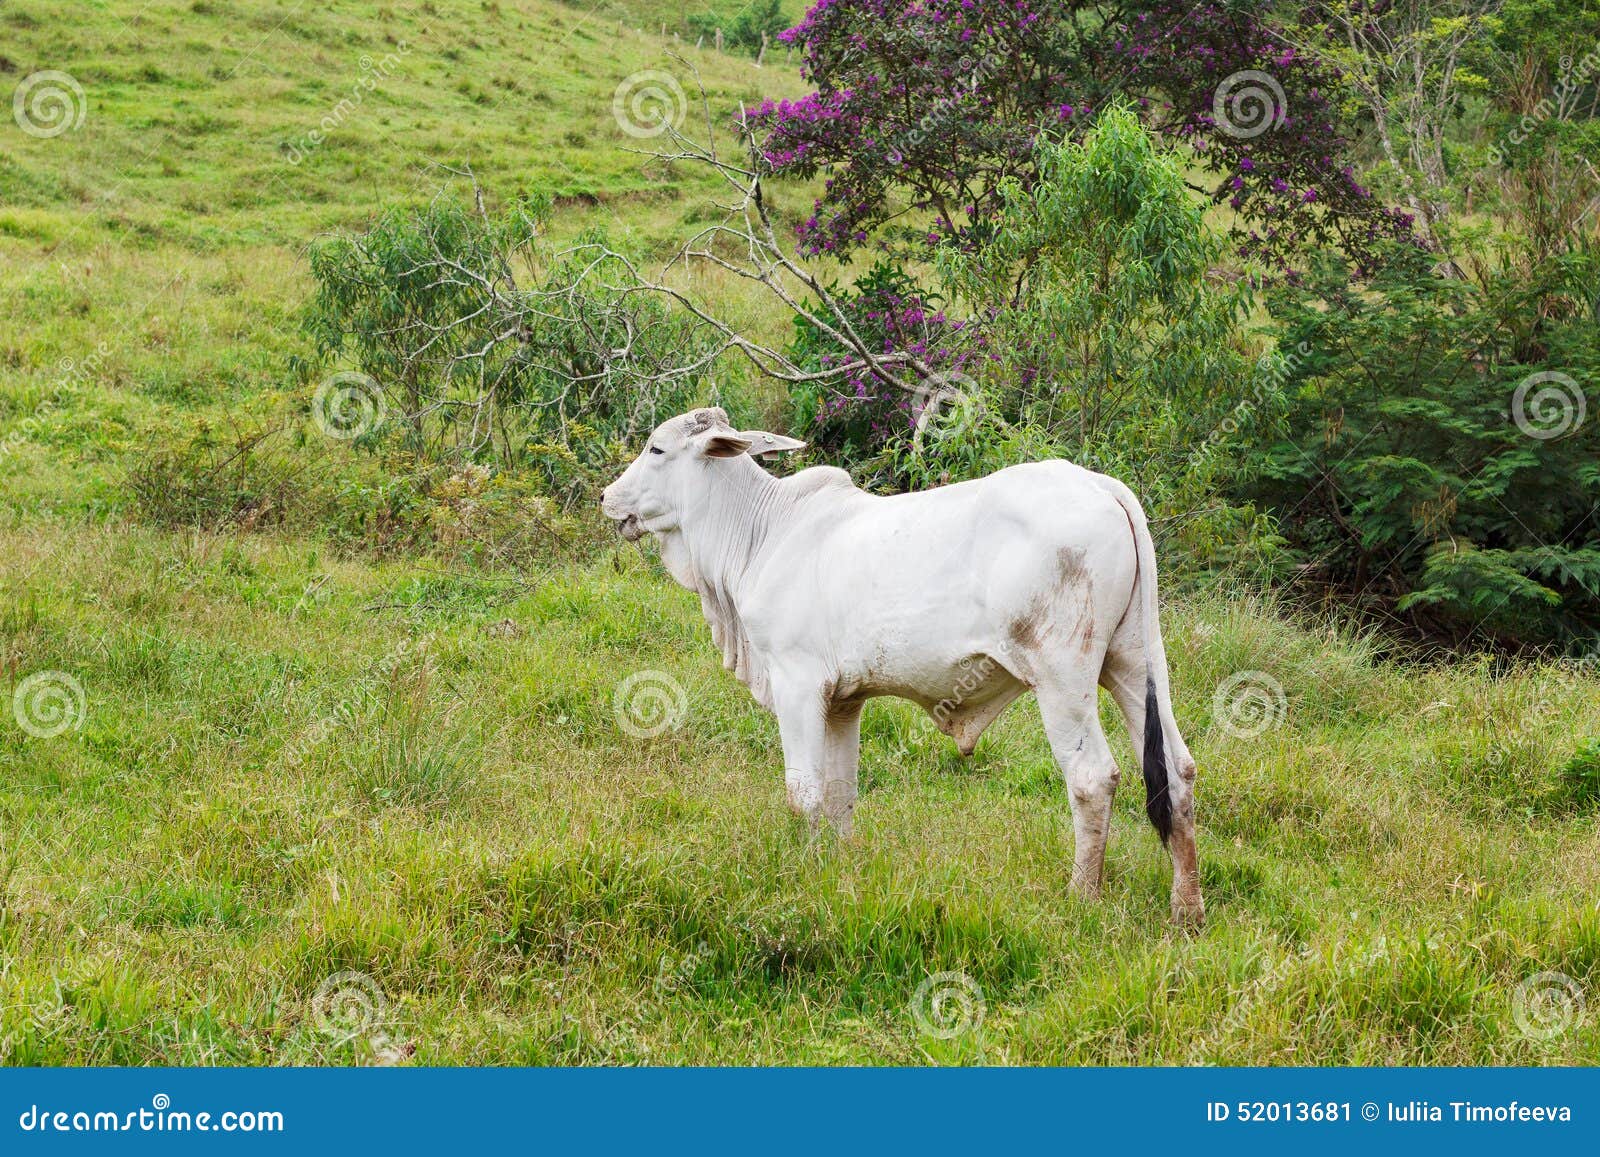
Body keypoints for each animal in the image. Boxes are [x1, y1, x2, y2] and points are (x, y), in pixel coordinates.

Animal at [600, 407, 1203, 926]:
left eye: (656, 448)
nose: (607, 497)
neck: (763, 533)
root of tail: (1104, 487)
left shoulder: (797, 685)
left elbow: (805, 795)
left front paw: (803, 874)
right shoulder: (843, 701)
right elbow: (840, 793)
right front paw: (837, 867)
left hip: (1063, 676)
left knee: (1092, 777)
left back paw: (1081, 896)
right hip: (1134, 660)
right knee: (1176, 769)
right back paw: (1187, 909)